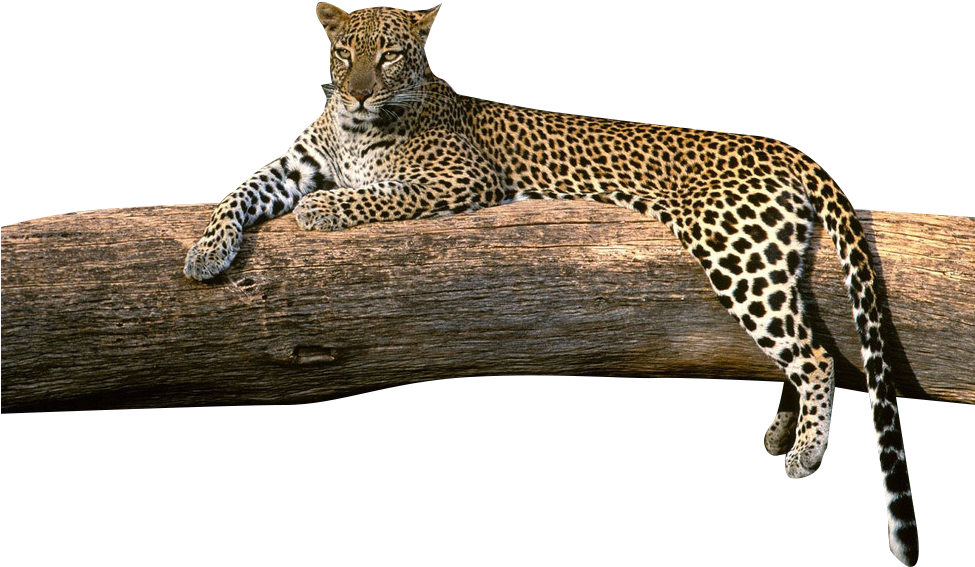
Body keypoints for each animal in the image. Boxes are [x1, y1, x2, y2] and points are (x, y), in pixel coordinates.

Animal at [184, 4, 918, 563]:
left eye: (390, 56)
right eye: (343, 52)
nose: (358, 90)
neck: (355, 124)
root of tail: (782, 146)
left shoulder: (460, 179)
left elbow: (375, 196)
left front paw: (323, 210)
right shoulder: (290, 166)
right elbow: (238, 191)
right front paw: (204, 252)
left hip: (733, 247)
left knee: (815, 352)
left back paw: (805, 453)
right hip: (768, 254)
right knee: (802, 333)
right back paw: (782, 429)